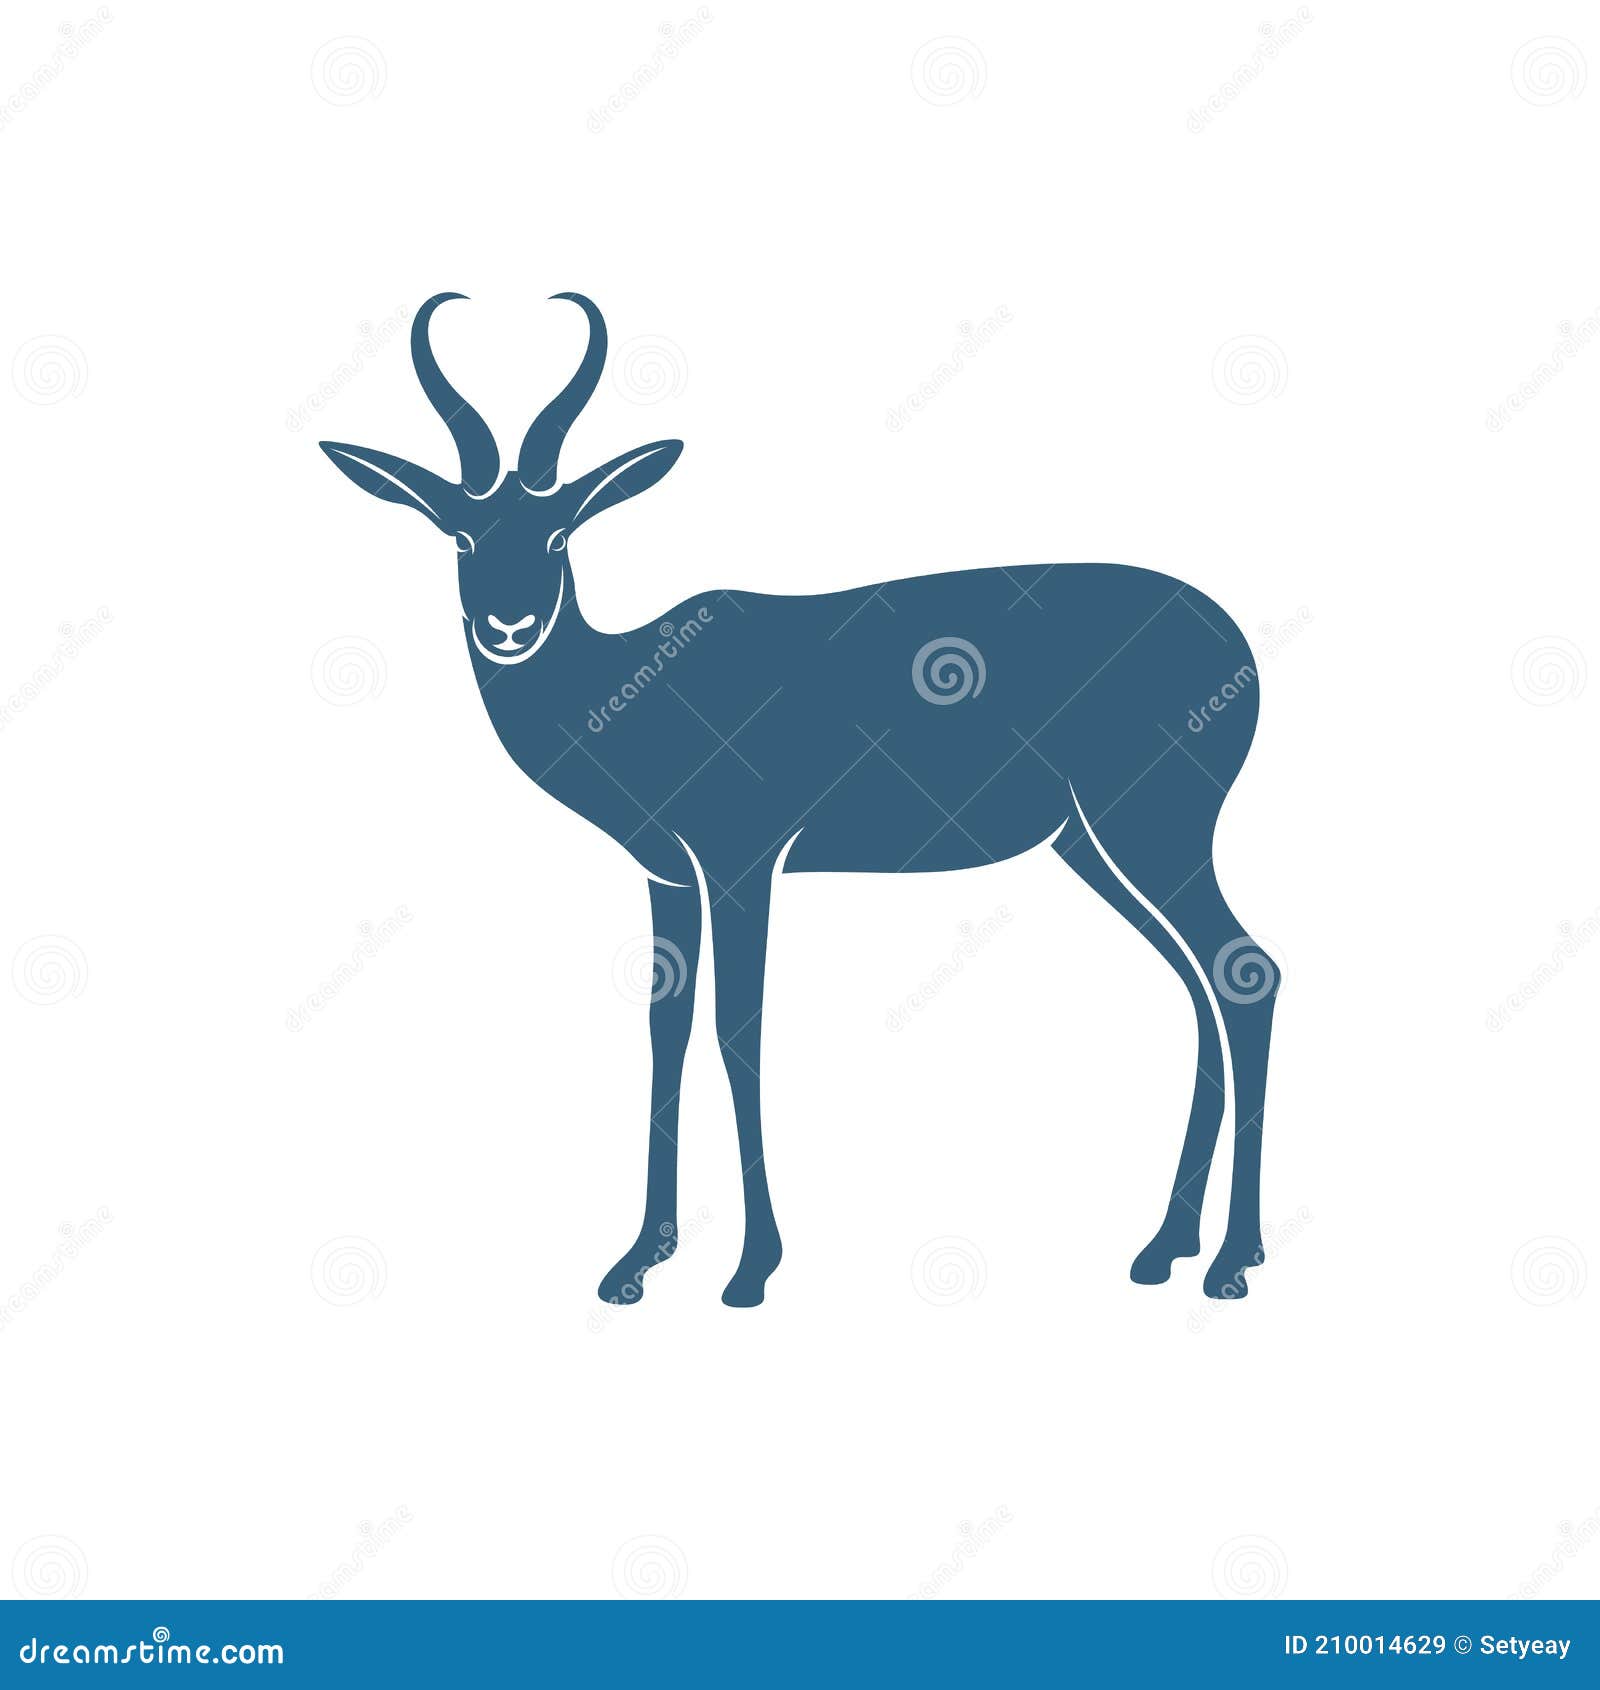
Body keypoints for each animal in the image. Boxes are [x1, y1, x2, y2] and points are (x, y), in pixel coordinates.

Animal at [321, 293, 1280, 1307]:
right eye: (462, 534)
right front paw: (638, 1261)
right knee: (1199, 988)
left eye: (558, 534)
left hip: (1152, 828)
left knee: (1245, 974)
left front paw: (751, 1269)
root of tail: (1237, 644)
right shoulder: (669, 875)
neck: (632, 683)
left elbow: (736, 1031)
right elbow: (665, 1029)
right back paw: (1165, 1248)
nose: (510, 627)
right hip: (1090, 844)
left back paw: (1230, 1262)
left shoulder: (743, 859)